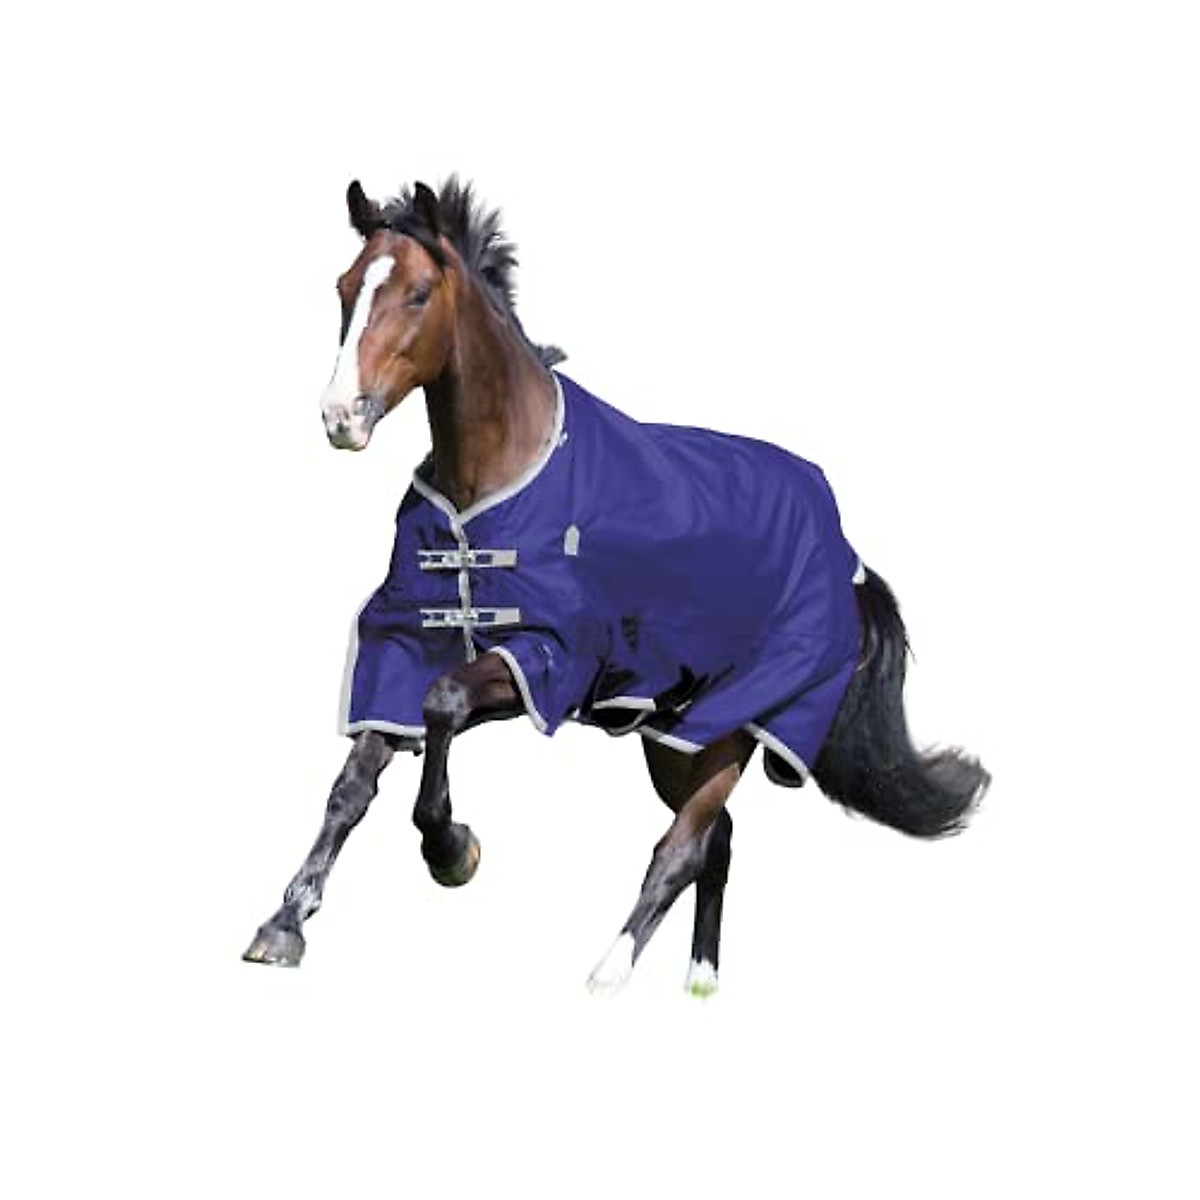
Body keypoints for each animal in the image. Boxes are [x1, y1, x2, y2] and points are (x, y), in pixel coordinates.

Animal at [243, 177, 990, 995]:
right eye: (345, 287)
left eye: (416, 293)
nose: (340, 415)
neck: (496, 479)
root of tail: (848, 556)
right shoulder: (407, 644)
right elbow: (354, 782)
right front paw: (282, 924)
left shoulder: (544, 661)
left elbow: (441, 709)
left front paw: (452, 850)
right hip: (672, 733)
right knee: (717, 839)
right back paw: (700, 982)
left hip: (735, 722)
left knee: (684, 846)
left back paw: (609, 972)